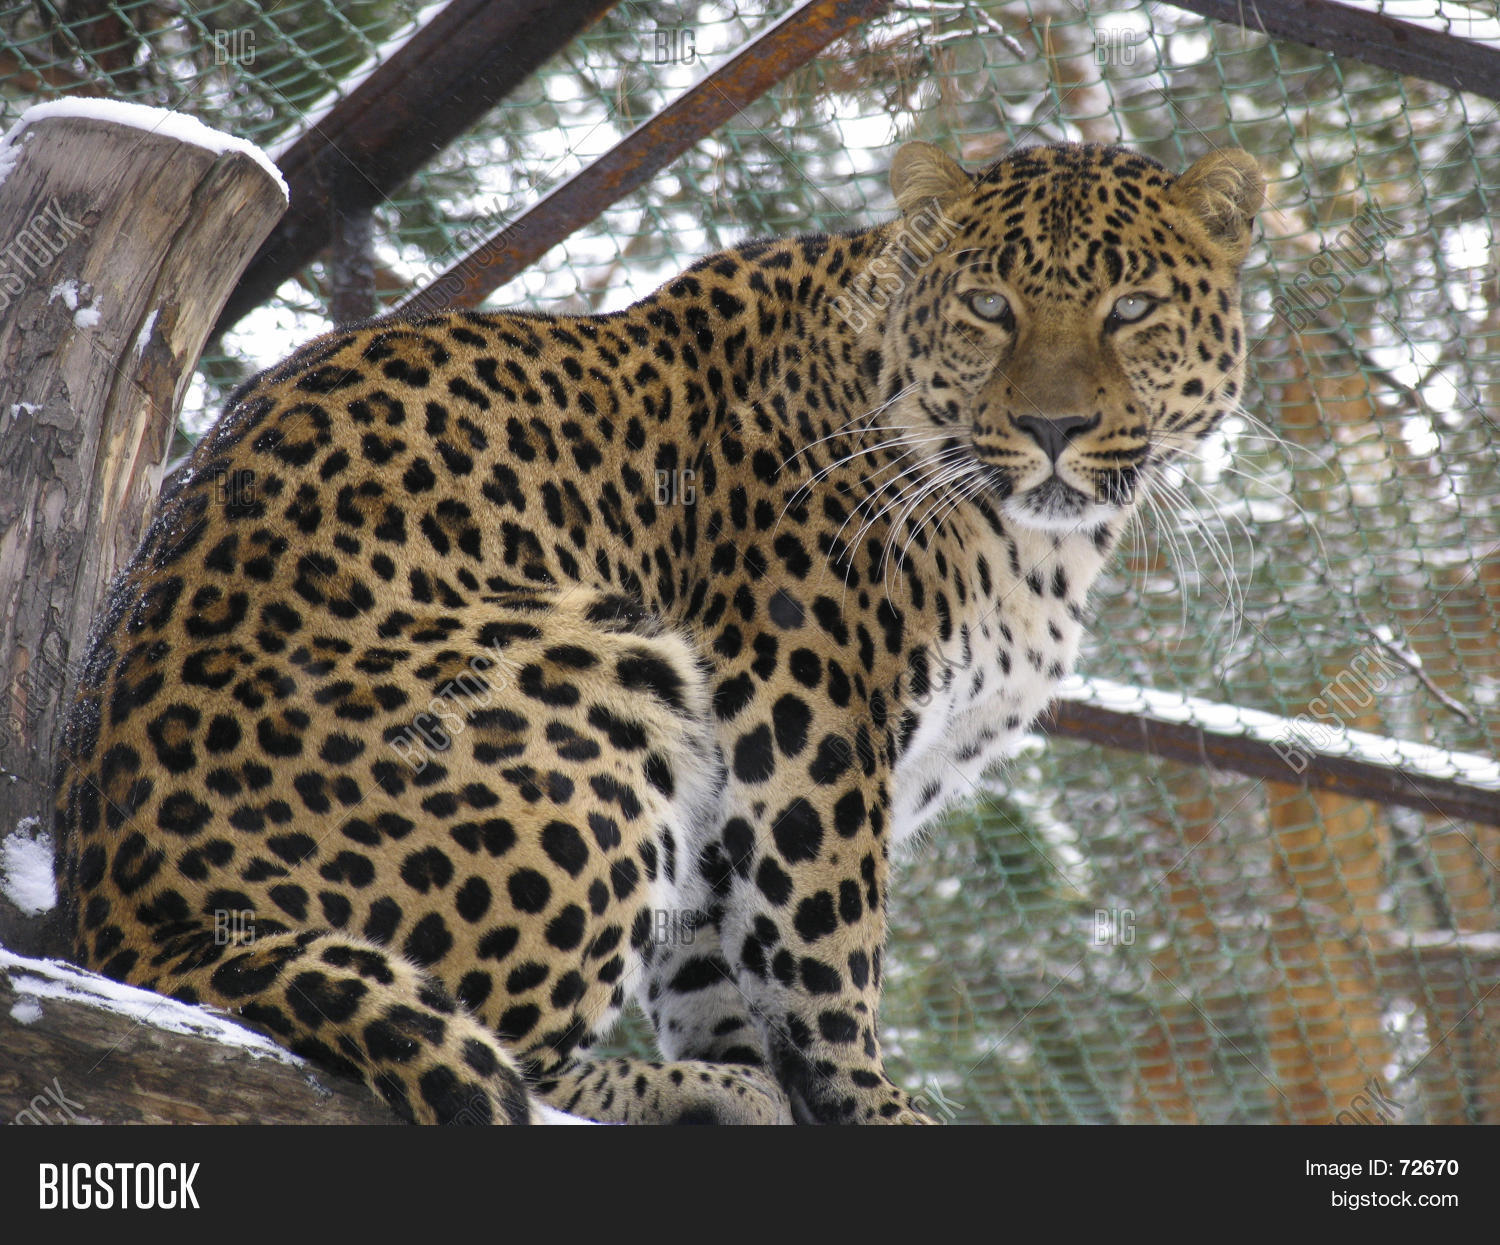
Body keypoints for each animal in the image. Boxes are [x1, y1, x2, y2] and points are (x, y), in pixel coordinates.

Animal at [52, 137, 1262, 1124]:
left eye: (1132, 309)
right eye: (989, 307)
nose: (1054, 427)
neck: (1031, 541)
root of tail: (126, 924)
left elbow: (719, 950)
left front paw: (759, 1066)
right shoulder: (806, 704)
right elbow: (828, 947)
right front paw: (865, 1099)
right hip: (592, 671)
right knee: (513, 1054)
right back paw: (696, 1093)